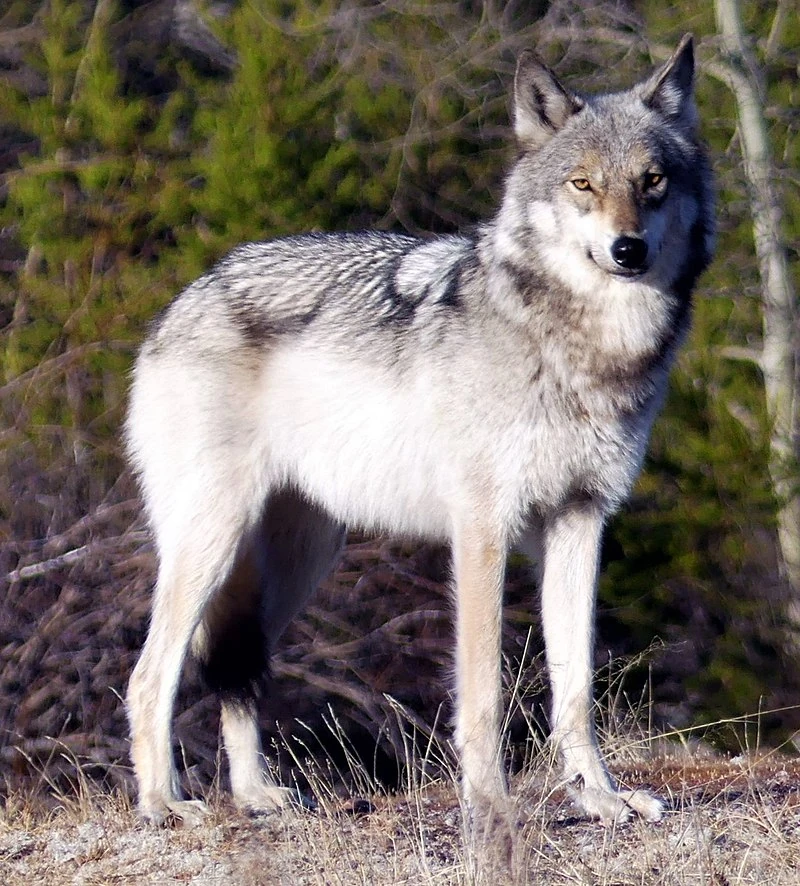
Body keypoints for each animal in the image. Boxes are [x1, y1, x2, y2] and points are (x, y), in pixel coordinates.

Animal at [125, 34, 714, 827]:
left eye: (652, 181)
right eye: (583, 185)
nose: (628, 250)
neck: (581, 348)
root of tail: (184, 297)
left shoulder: (581, 520)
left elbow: (576, 684)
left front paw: (600, 797)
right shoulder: (482, 527)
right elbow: (484, 688)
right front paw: (491, 804)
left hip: (299, 558)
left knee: (238, 670)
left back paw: (256, 795)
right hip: (213, 540)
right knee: (151, 675)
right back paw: (165, 802)